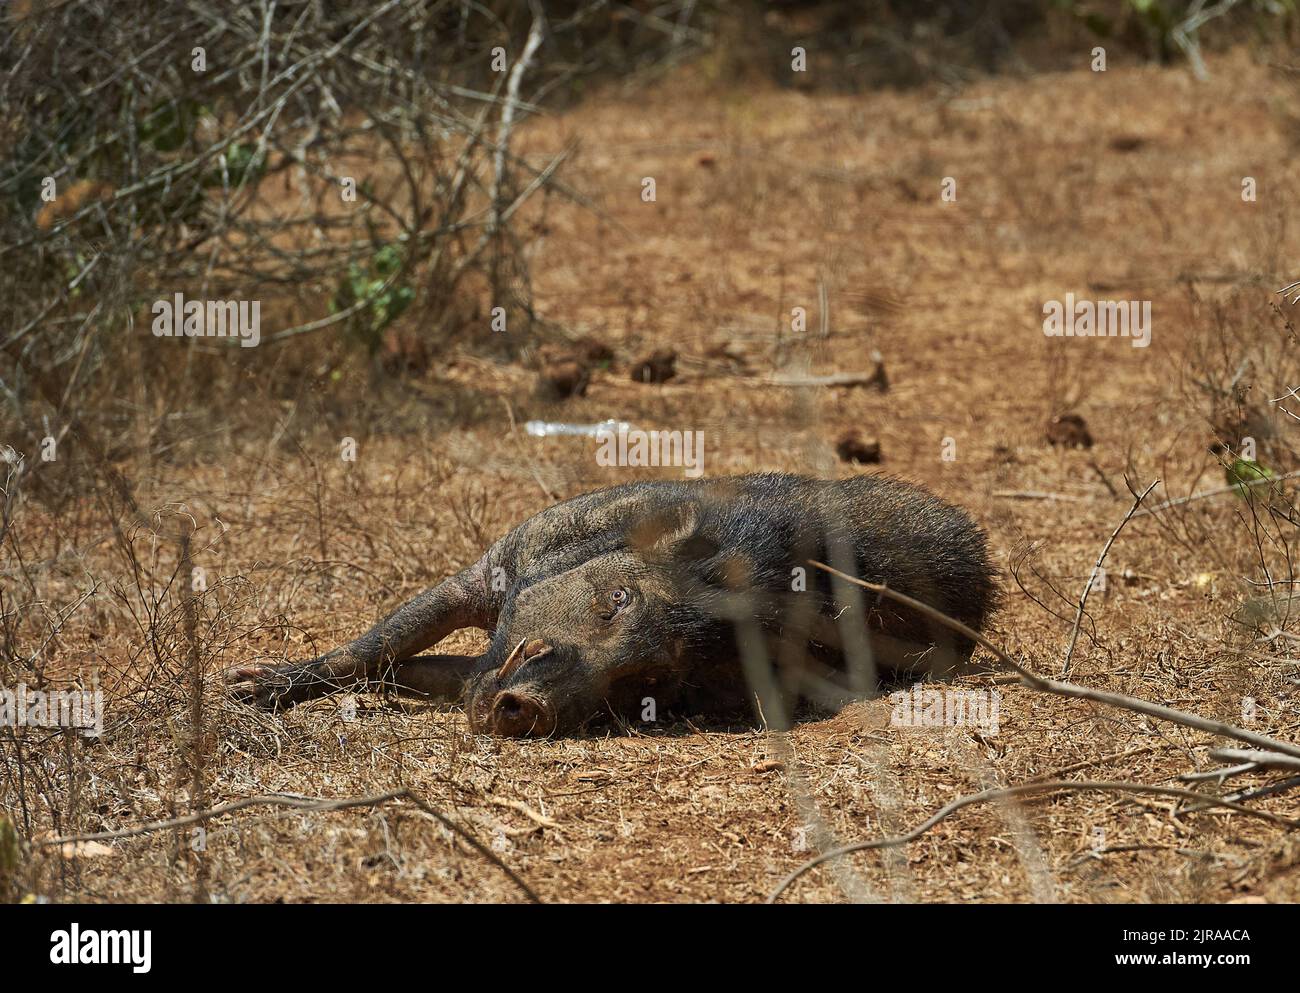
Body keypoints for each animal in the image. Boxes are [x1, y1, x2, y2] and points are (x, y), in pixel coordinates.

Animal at [226, 473, 998, 737]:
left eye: (650, 680)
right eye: (615, 599)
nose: (526, 706)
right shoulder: (494, 566)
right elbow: (381, 643)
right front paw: (244, 688)